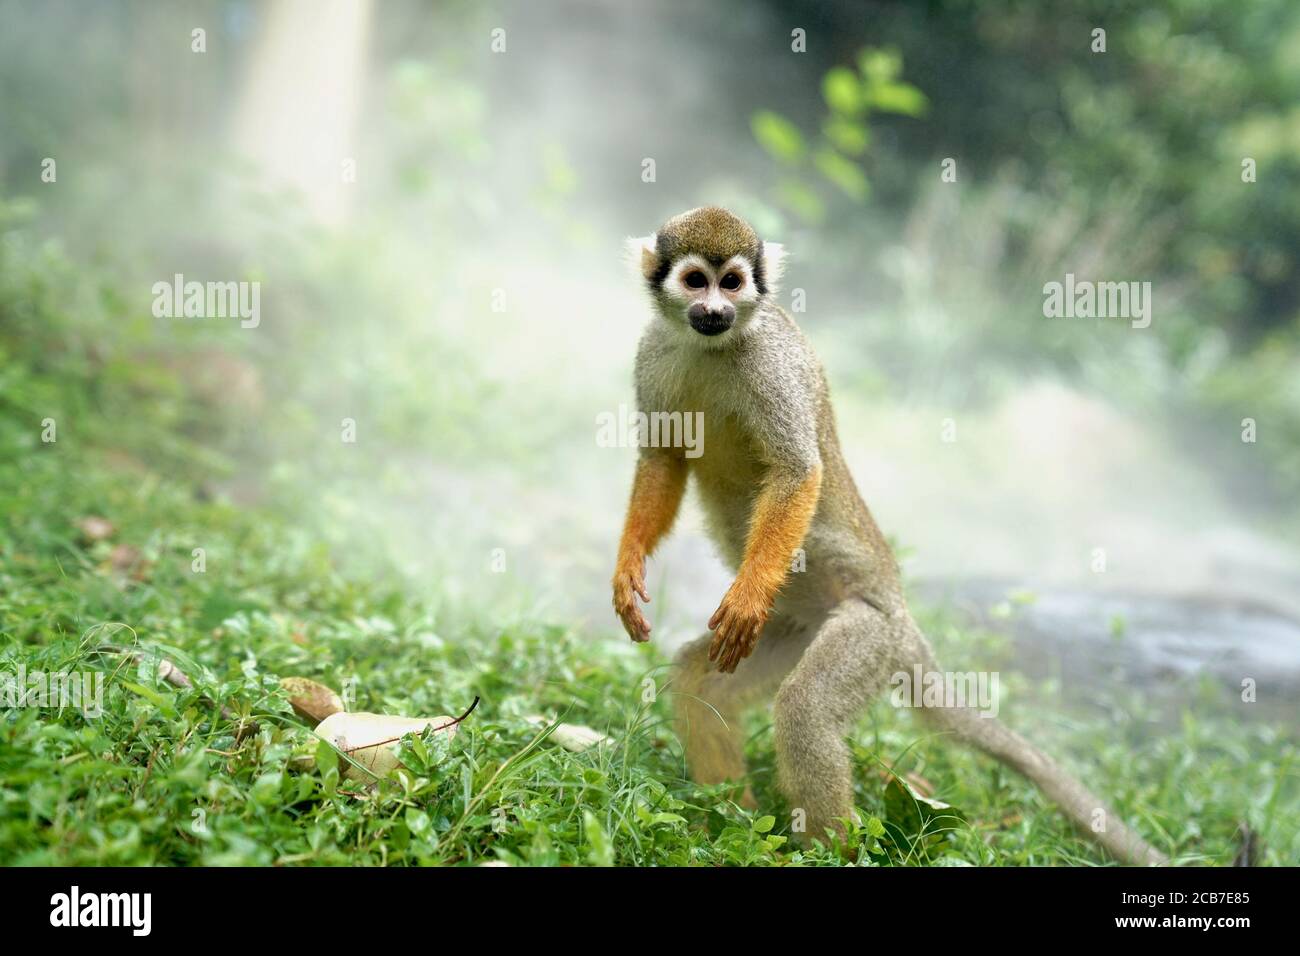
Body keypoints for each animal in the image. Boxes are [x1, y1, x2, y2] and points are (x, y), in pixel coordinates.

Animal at [611, 206, 1166, 866]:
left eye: (733, 282)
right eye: (696, 281)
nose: (716, 309)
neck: (709, 345)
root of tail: (902, 616)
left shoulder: (769, 363)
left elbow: (798, 471)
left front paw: (746, 593)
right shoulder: (652, 349)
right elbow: (663, 459)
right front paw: (627, 567)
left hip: (869, 636)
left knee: (805, 709)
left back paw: (825, 850)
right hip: (795, 629)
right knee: (703, 680)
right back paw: (726, 819)